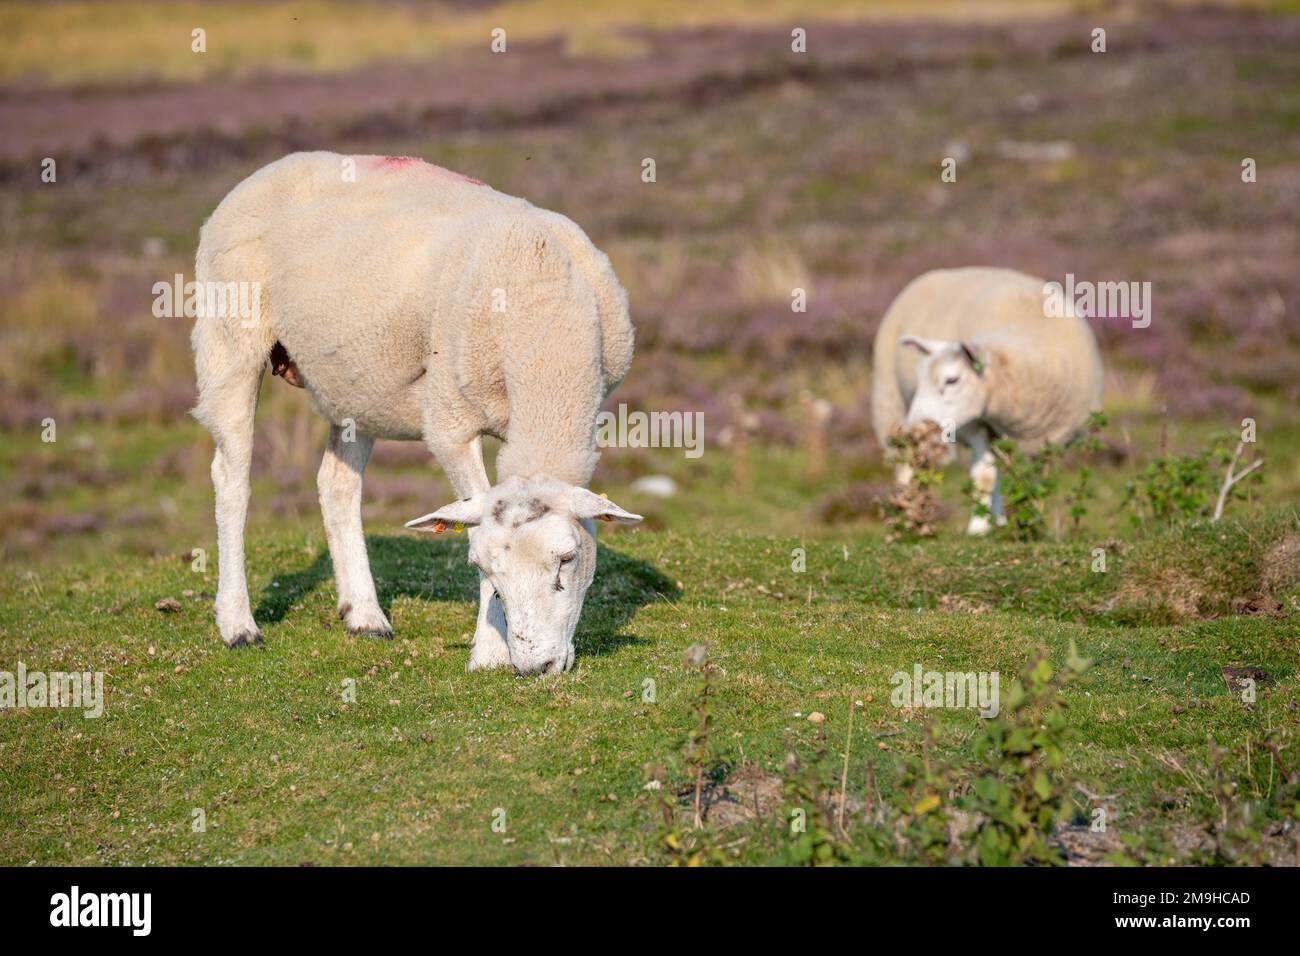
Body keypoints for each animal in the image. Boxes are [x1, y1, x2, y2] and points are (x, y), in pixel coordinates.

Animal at [191, 151, 641, 675]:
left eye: (568, 559)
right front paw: (489, 652)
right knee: (232, 479)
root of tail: (266, 171)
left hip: (357, 382)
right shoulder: (450, 421)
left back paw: (365, 615)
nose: (537, 667)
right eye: (485, 569)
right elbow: (472, 519)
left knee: (337, 485)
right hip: (229, 339)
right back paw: (238, 624)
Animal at [871, 267, 1103, 534]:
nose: (916, 425)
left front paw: (1032, 520)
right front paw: (978, 529)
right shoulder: (978, 425)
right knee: (905, 464)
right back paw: (907, 520)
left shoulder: (1046, 441)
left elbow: (1035, 481)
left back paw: (999, 520)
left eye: (952, 380)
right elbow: (984, 477)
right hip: (889, 401)